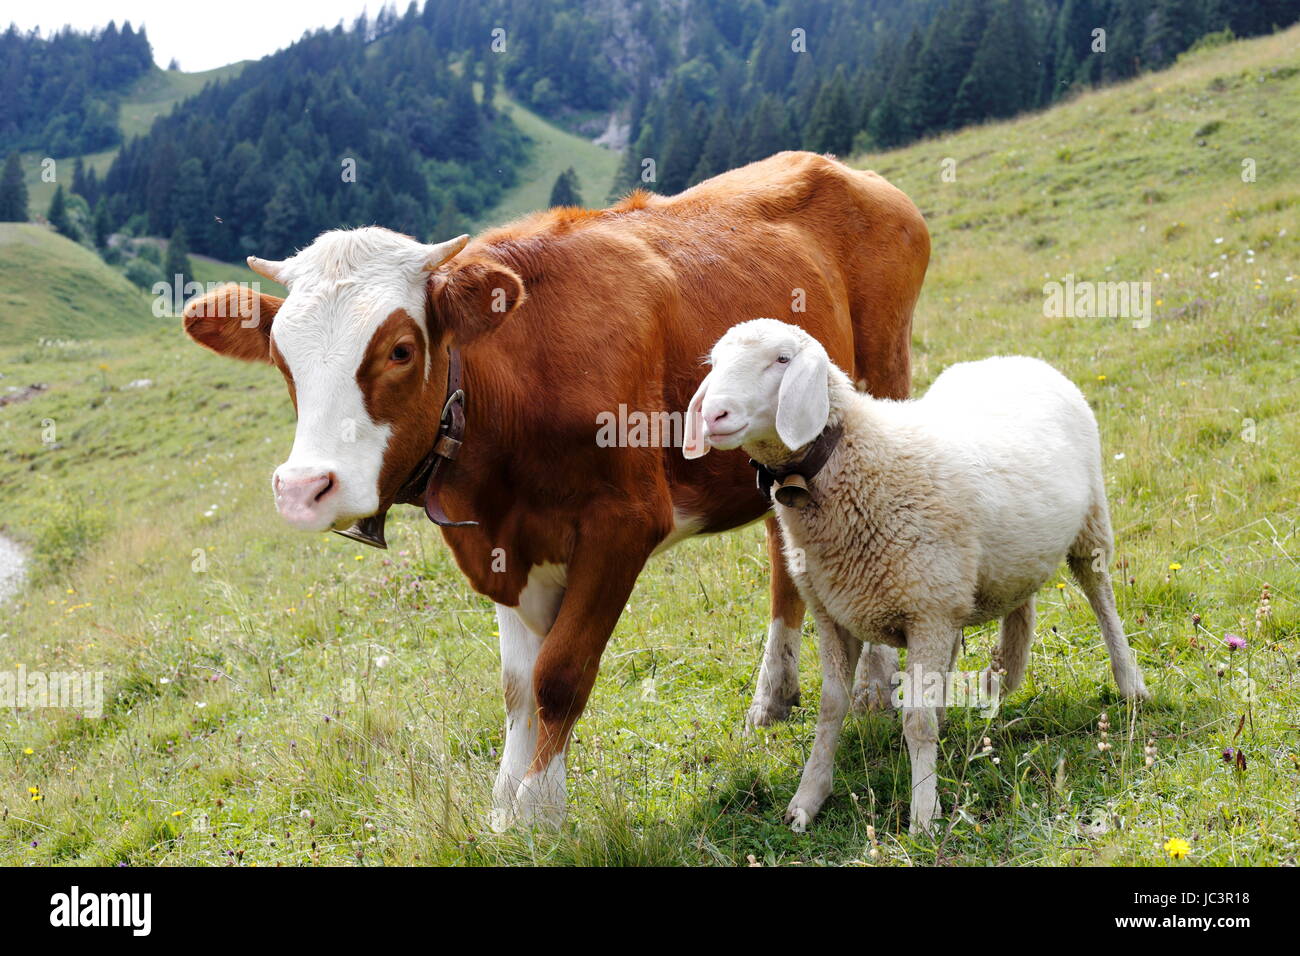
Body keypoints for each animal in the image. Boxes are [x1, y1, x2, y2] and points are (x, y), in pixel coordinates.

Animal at [182, 151, 930, 827]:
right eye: (283, 360)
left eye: (399, 350)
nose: (303, 488)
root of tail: (840, 167)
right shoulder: (501, 547)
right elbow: (518, 686)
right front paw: (505, 806)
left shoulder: (623, 525)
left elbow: (560, 673)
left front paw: (540, 810)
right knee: (783, 551)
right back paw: (772, 697)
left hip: (884, 373)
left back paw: (871, 684)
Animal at [682, 318, 1149, 834]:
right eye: (715, 363)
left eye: (782, 359)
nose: (714, 415)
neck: (859, 463)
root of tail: (1014, 359)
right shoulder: (835, 615)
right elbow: (831, 710)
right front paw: (808, 799)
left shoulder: (928, 612)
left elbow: (917, 722)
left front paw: (924, 813)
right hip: (1004, 554)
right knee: (1019, 607)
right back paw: (999, 679)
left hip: (1090, 526)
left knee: (1101, 597)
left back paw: (1130, 683)